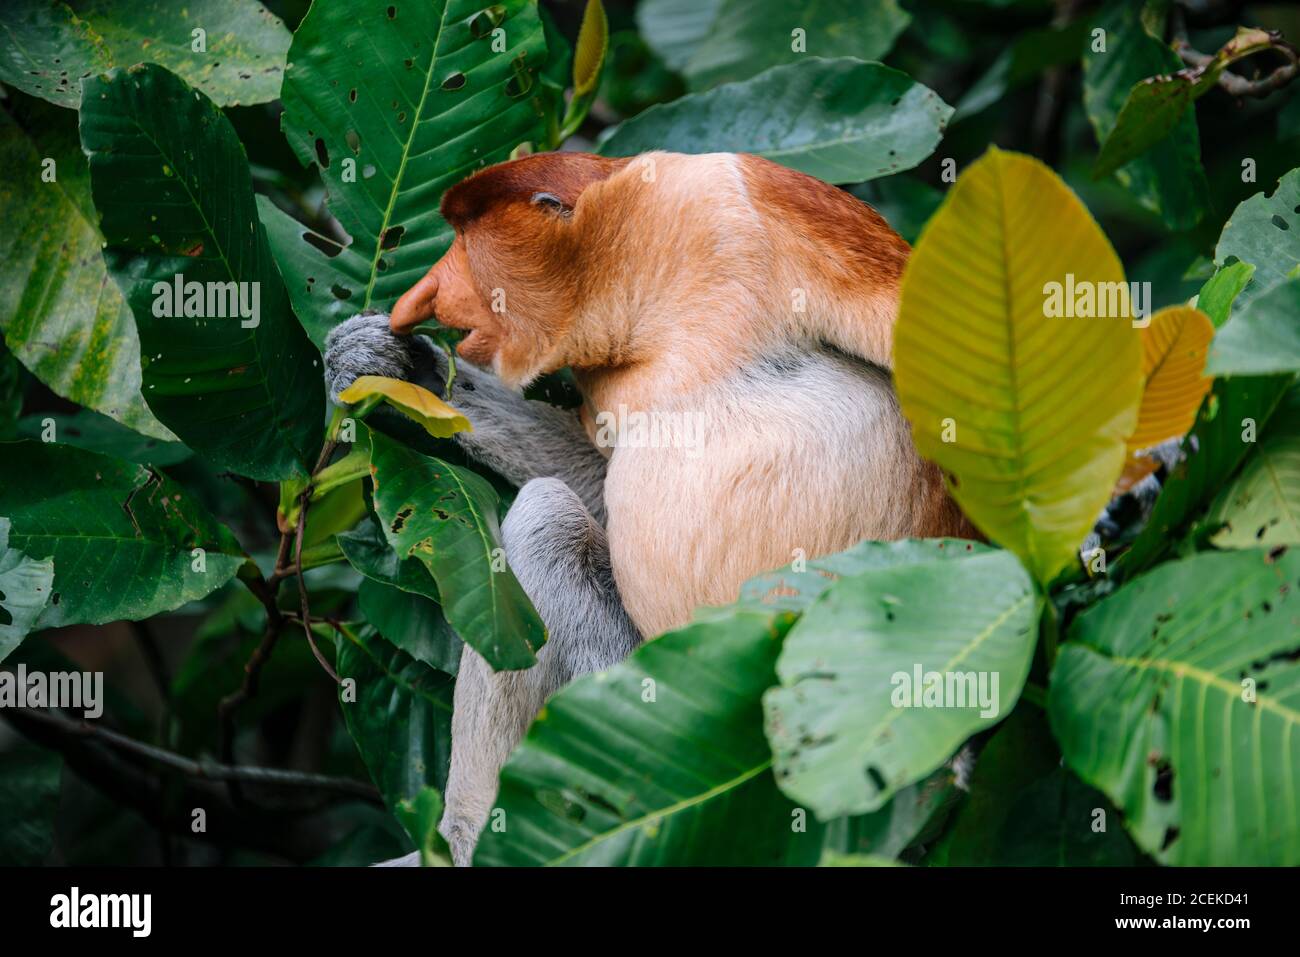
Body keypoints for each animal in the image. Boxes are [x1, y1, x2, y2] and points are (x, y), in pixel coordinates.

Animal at [324, 150, 978, 865]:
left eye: (465, 243)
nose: (423, 297)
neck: (646, 287)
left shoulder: (766, 200)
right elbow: (598, 473)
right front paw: (385, 360)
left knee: (543, 522)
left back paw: (464, 839)